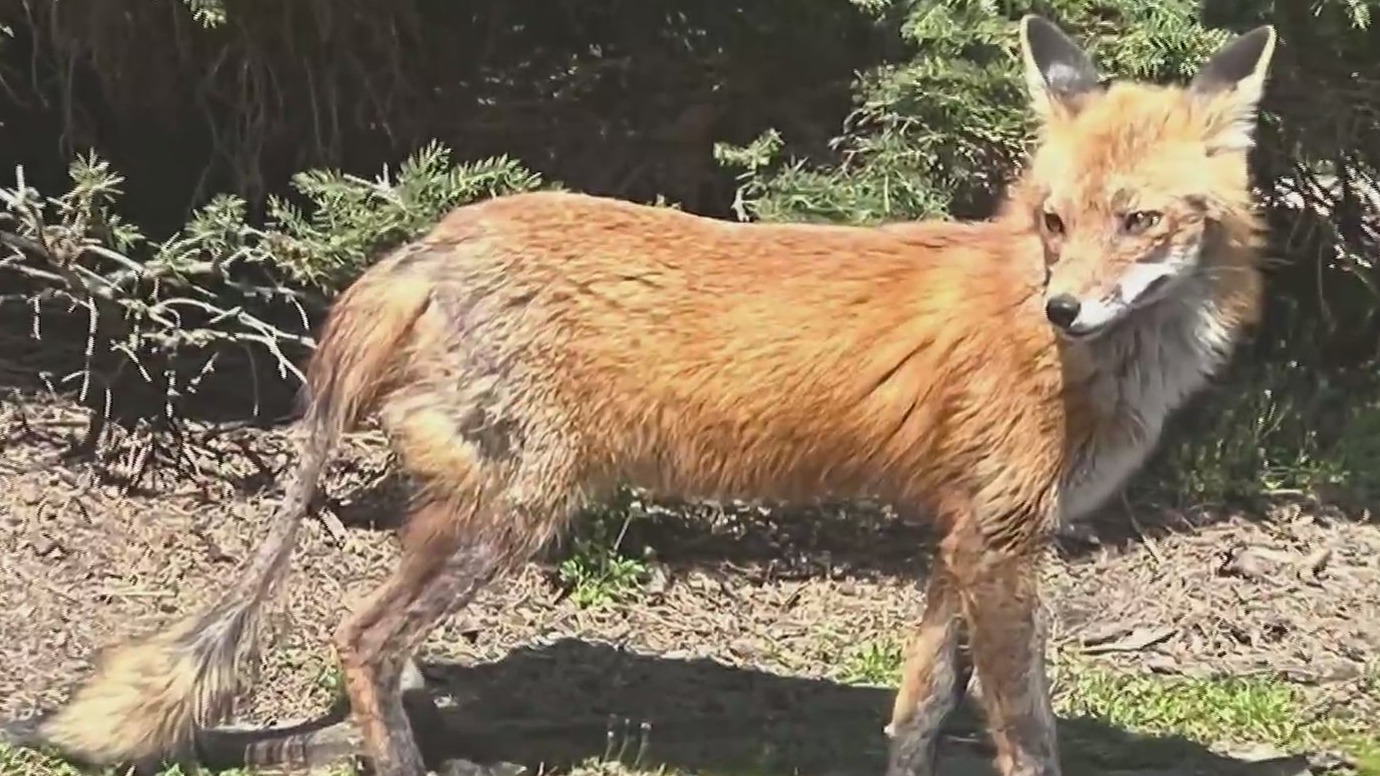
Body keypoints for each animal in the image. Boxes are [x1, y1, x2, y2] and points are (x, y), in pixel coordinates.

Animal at [20, 14, 1277, 776]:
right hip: (510, 516)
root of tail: (430, 238)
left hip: (467, 511)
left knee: (382, 647)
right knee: (359, 638)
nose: (1065, 308)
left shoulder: (963, 536)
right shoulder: (1004, 540)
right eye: (1056, 221)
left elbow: (920, 708)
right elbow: (1024, 726)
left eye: (1140, 220)